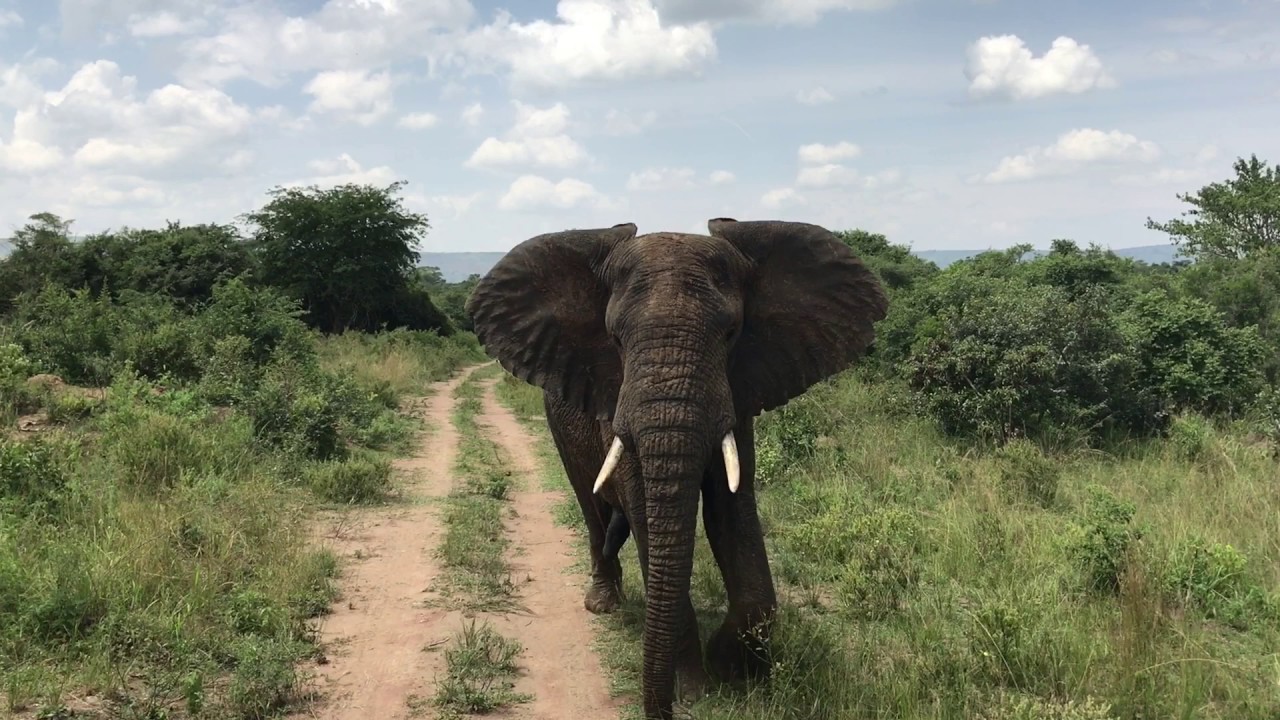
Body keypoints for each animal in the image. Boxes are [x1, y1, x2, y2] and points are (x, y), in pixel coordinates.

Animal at [465, 218, 888, 719]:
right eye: (615, 339)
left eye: (731, 334)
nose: (662, 708)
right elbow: (647, 514)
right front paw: (695, 691)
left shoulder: (737, 391)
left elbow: (731, 512)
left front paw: (734, 667)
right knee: (589, 503)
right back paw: (603, 603)